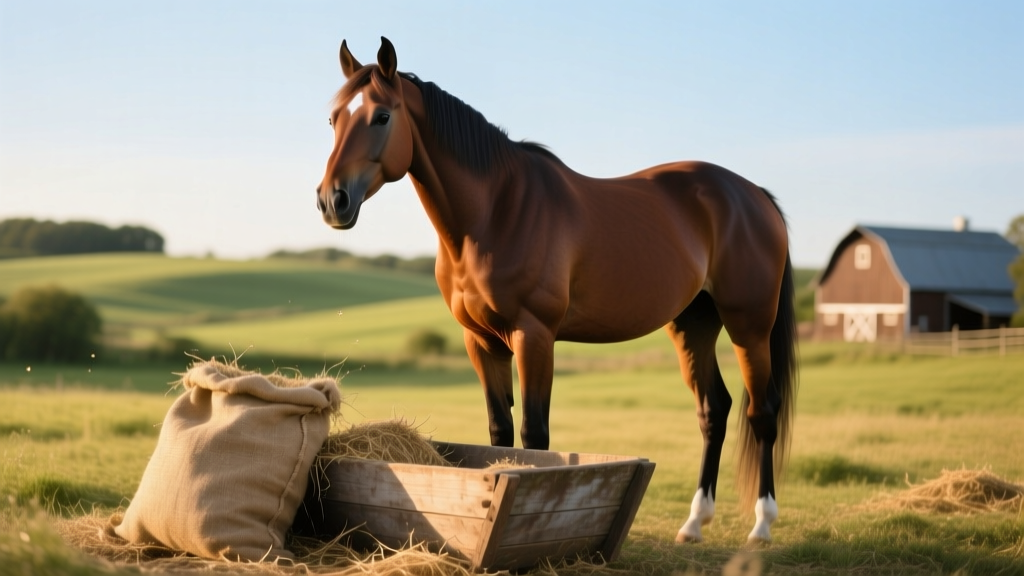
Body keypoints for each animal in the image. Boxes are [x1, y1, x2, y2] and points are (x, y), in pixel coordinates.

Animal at [316, 37, 797, 544]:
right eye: (334, 119)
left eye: (382, 116)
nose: (332, 200)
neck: (495, 213)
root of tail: (753, 195)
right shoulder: (480, 342)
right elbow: (499, 430)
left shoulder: (534, 336)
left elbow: (535, 433)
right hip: (693, 325)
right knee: (713, 410)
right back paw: (694, 524)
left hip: (749, 326)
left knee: (762, 412)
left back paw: (762, 525)